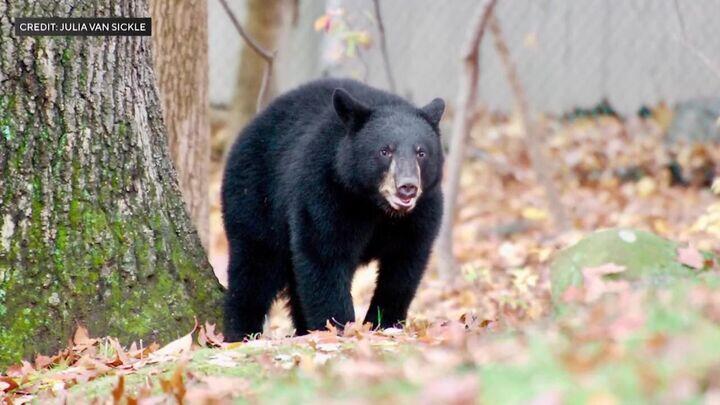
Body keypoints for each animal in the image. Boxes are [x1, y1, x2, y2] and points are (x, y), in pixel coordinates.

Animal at [221, 78, 445, 341]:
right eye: (384, 151)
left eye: (421, 152)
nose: (407, 187)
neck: (376, 206)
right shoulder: (326, 193)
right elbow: (325, 256)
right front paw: (340, 328)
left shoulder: (421, 213)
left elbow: (404, 266)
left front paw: (384, 323)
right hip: (256, 199)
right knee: (254, 268)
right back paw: (241, 333)